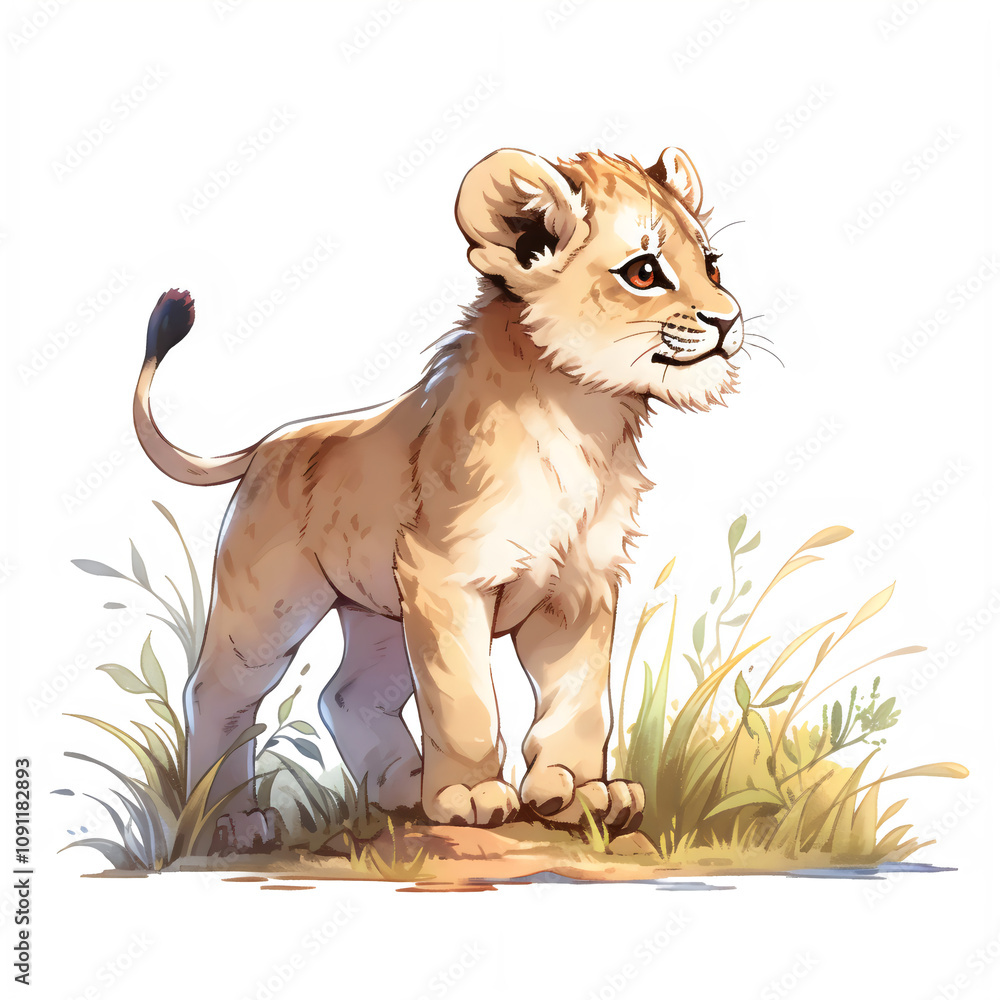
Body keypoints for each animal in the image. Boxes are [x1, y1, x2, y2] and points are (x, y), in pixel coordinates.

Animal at [134, 147, 744, 851]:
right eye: (645, 272)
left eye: (713, 264)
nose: (729, 319)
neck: (586, 420)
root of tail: (268, 443)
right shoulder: (446, 575)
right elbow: (465, 698)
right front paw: (470, 797)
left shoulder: (580, 587)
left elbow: (580, 699)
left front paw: (578, 793)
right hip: (268, 606)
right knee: (219, 694)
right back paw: (228, 820)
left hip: (379, 612)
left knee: (347, 694)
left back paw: (401, 789)